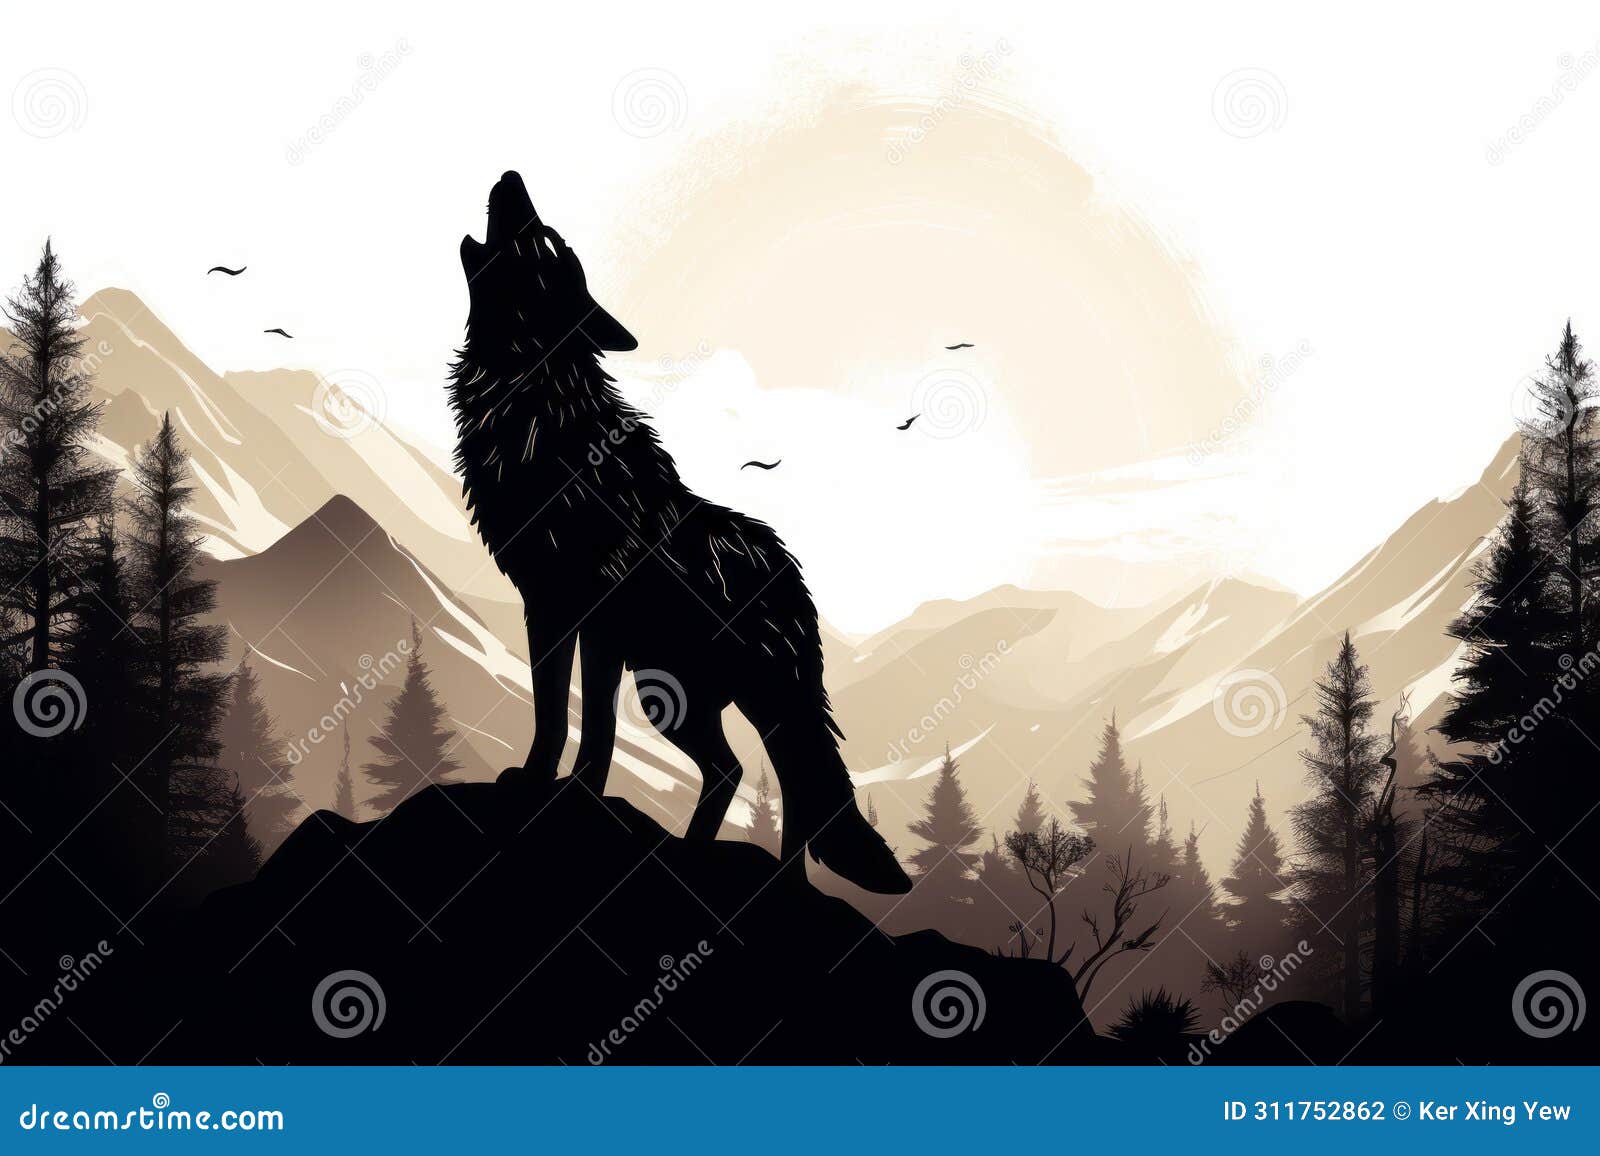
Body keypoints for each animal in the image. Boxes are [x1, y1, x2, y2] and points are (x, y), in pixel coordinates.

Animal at [449, 171, 910, 894]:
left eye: (540, 240)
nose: (512, 176)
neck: (541, 406)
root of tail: (797, 585)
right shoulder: (592, 628)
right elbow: (595, 728)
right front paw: (578, 795)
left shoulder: (560, 610)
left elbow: (559, 716)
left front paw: (540, 786)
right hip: (680, 689)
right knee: (754, 774)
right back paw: (730, 864)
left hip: (710, 695)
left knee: (775, 779)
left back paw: (747, 873)